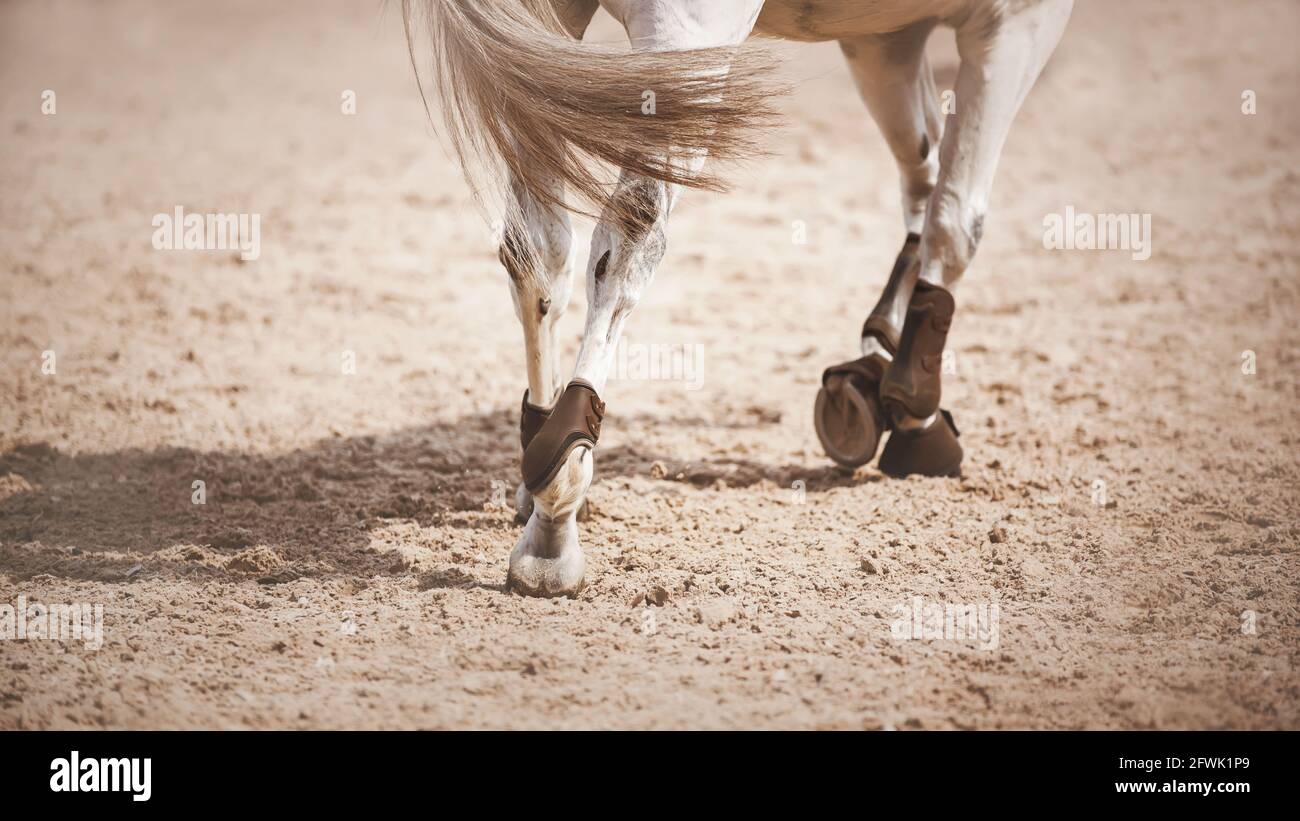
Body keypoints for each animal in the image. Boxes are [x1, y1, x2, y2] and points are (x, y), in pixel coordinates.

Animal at [401, 0, 1074, 596]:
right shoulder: (1013, 23)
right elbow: (956, 220)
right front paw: (915, 408)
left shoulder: (884, 40)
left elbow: (923, 178)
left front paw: (878, 364)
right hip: (689, 35)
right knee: (630, 234)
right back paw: (556, 517)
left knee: (537, 250)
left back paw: (539, 465)